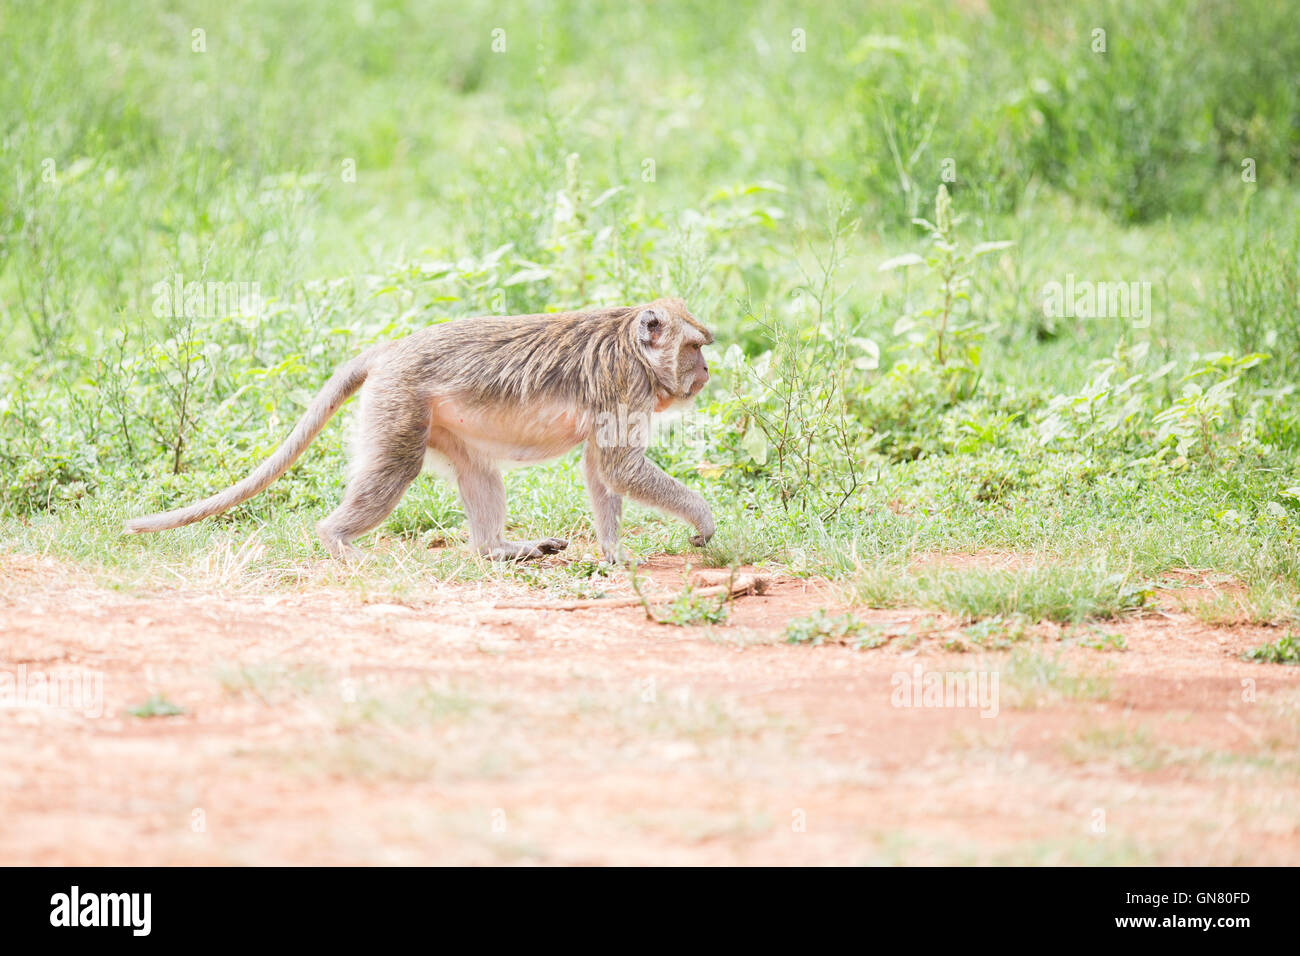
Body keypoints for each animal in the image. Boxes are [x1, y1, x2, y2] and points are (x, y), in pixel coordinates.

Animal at [124, 298, 716, 563]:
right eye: (694, 346)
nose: (708, 371)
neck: (633, 348)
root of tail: (389, 350)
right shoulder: (624, 385)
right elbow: (619, 467)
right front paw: (702, 519)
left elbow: (602, 471)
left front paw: (612, 552)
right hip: (399, 403)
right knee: (395, 468)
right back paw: (335, 539)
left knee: (478, 470)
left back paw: (496, 550)